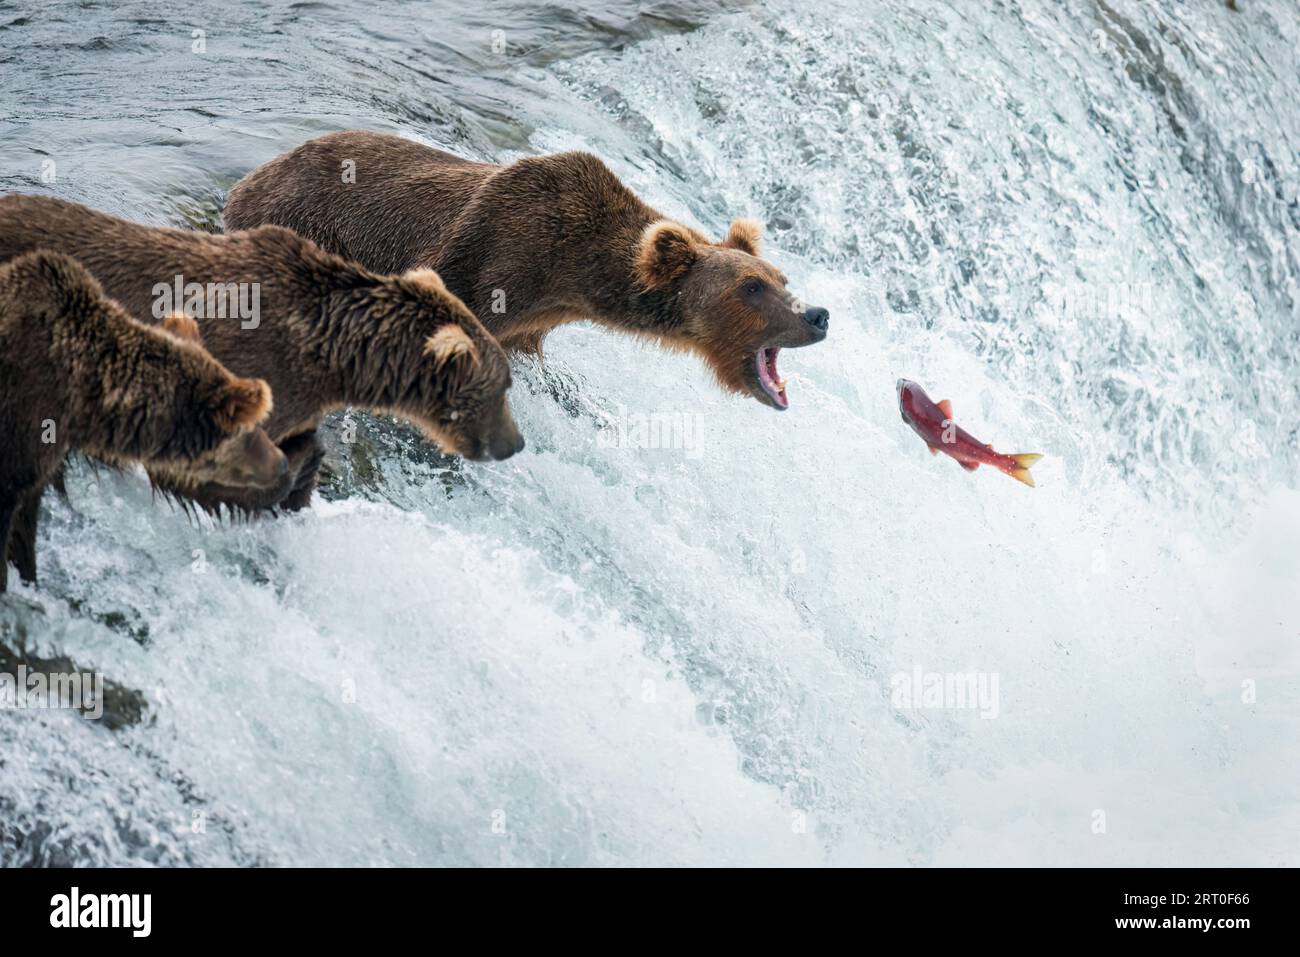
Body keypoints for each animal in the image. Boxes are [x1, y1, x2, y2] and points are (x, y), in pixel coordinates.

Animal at [223, 131, 830, 411]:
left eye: (780, 279)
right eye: (750, 287)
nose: (818, 315)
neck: (571, 274)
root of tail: (251, 178)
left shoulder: (533, 322)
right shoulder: (492, 261)